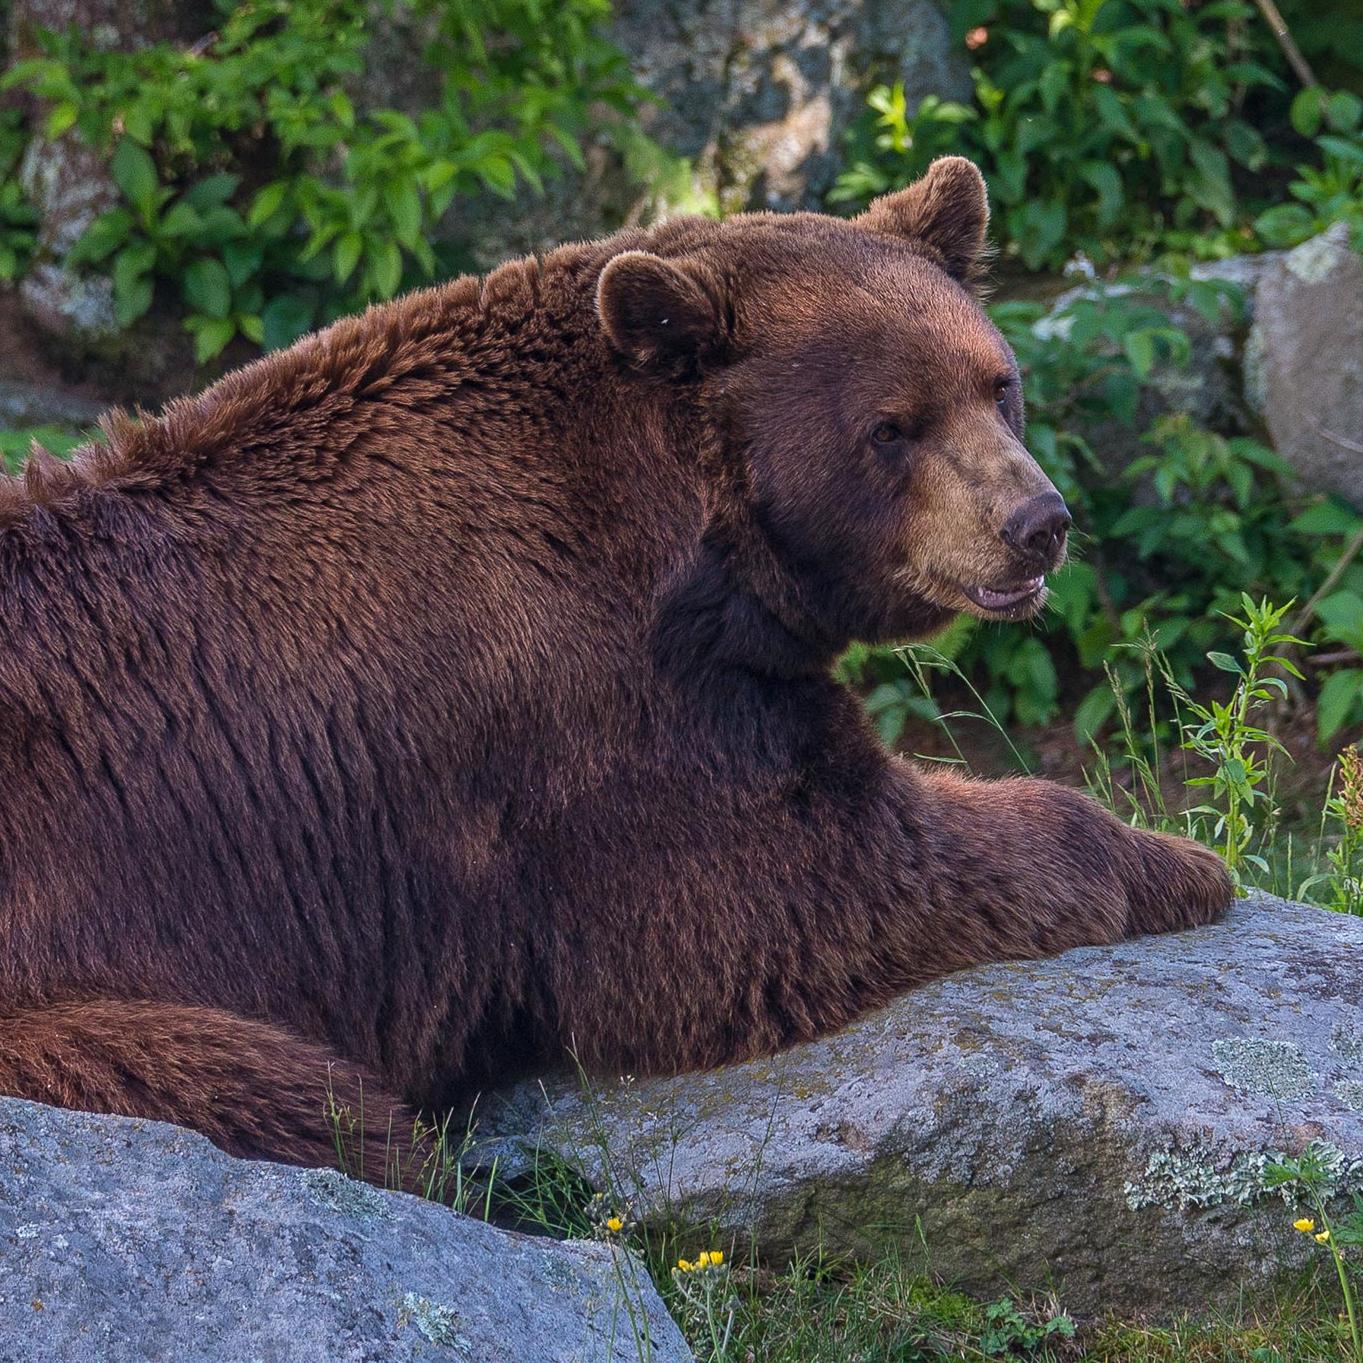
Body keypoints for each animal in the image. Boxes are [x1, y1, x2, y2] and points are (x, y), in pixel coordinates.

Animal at [0, 158, 1231, 1172]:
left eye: (996, 382)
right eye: (891, 425)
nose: (1036, 523)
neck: (683, 542)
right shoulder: (575, 707)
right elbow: (791, 883)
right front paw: (1178, 858)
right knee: (300, 1099)